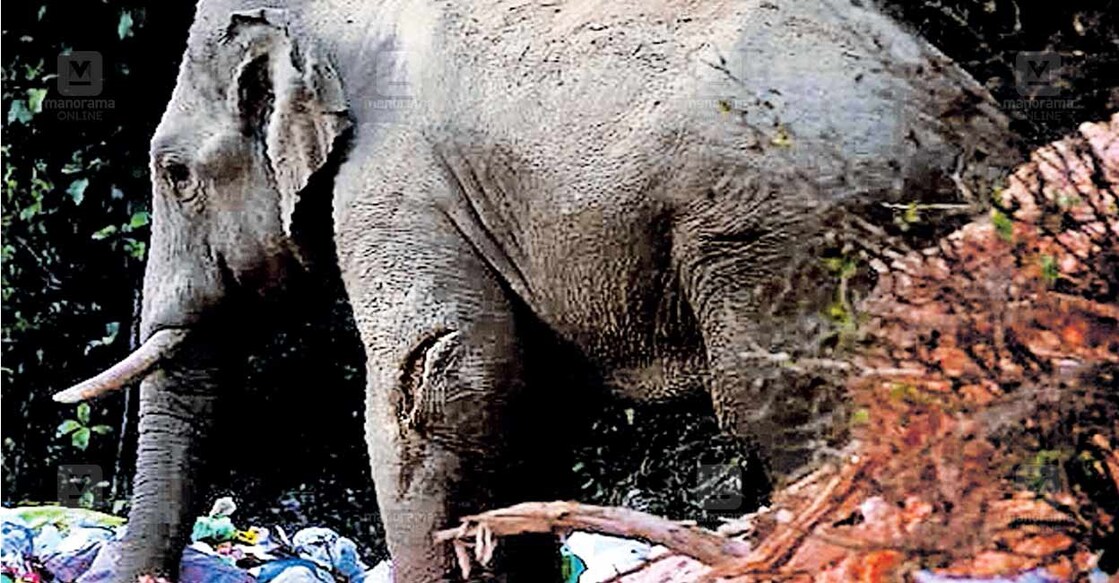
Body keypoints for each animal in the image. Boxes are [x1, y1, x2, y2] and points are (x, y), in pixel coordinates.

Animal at [55, 0, 1021, 580]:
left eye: (174, 173)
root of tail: (975, 136)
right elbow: (522, 405)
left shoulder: (394, 182)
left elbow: (433, 390)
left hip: (780, 237)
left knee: (781, 412)